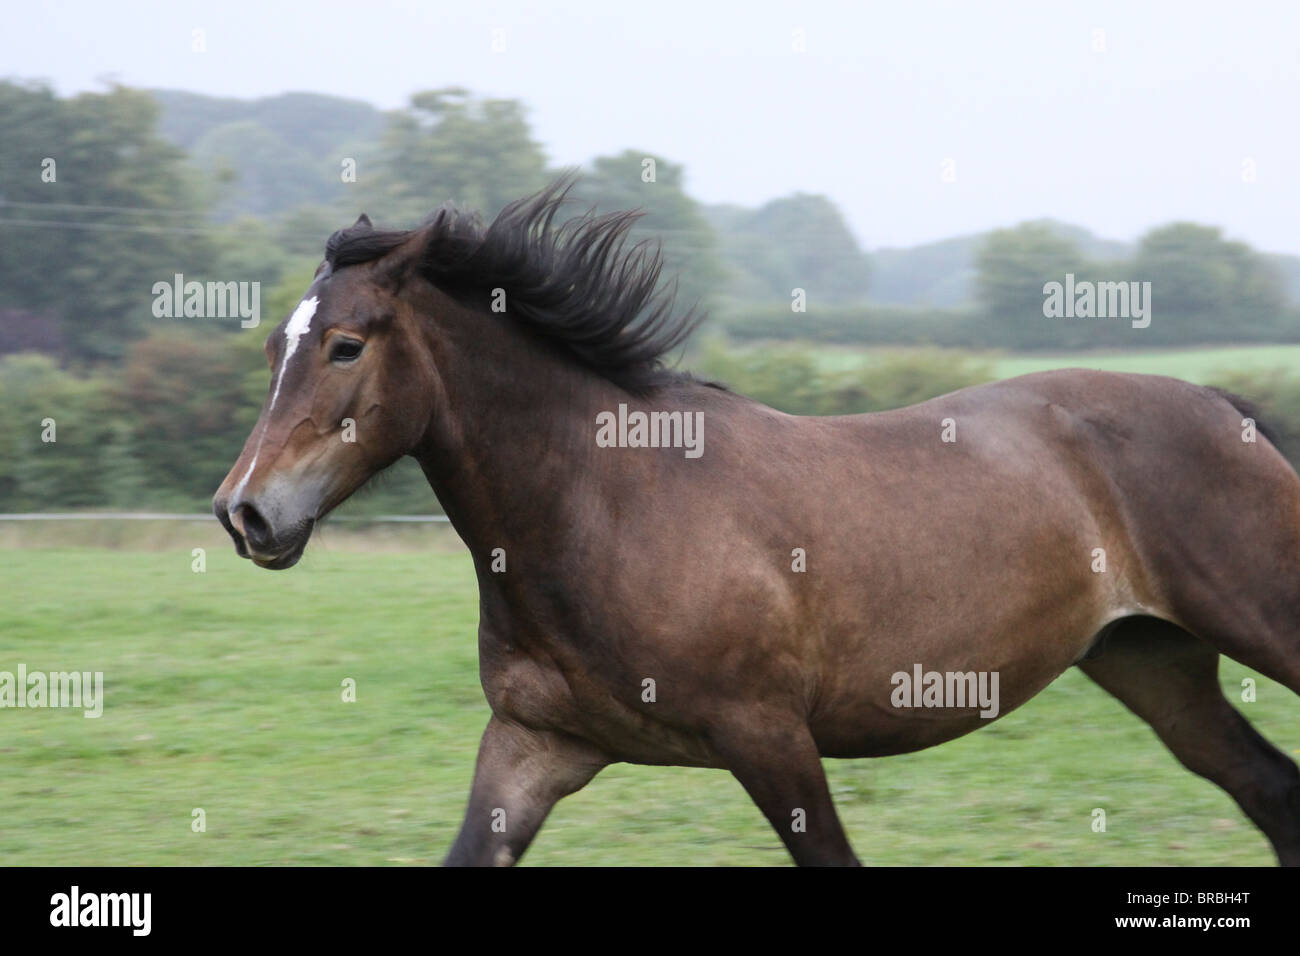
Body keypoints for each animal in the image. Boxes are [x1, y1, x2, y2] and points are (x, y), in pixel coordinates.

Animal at [214, 178, 1300, 866]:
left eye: (346, 345)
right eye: (273, 346)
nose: (244, 513)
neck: (608, 506)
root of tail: (1224, 406)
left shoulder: (769, 737)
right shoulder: (533, 747)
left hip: (1259, 628)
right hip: (1150, 661)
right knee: (1271, 788)